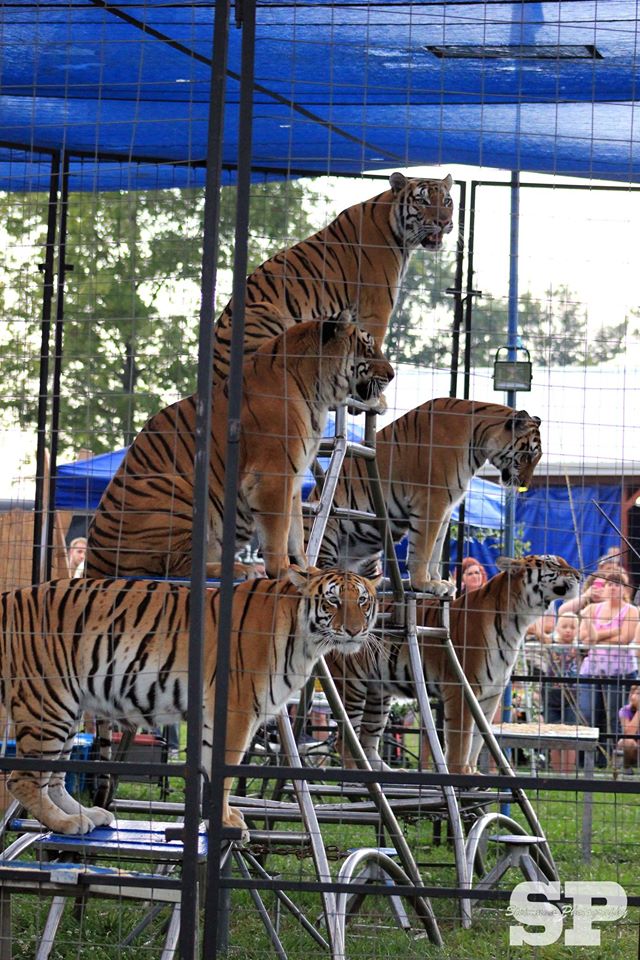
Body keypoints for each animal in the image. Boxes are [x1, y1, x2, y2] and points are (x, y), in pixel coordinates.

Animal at [0, 566, 380, 837]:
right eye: (333, 601)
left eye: (362, 601)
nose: (353, 631)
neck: (307, 641)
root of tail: (9, 595)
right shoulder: (237, 710)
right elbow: (226, 772)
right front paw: (226, 822)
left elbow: (212, 771)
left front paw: (216, 817)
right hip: (49, 703)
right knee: (21, 779)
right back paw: (65, 823)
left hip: (69, 707)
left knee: (54, 778)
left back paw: (85, 815)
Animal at [86, 311, 394, 581]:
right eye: (368, 345)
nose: (392, 375)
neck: (317, 390)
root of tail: (92, 565)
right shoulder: (273, 476)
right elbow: (279, 532)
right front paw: (284, 571)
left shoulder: (294, 479)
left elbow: (295, 532)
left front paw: (307, 568)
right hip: (174, 490)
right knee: (176, 566)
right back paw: (240, 569)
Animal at [312, 398, 542, 595]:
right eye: (528, 455)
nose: (525, 484)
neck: (479, 441)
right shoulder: (433, 501)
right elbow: (423, 548)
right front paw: (423, 583)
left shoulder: (447, 507)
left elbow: (436, 549)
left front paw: (436, 580)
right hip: (328, 532)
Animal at [328, 555, 579, 773]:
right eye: (553, 564)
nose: (578, 575)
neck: (519, 619)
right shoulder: (462, 688)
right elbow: (461, 739)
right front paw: (460, 775)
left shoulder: (491, 695)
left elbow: (478, 738)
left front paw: (473, 773)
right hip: (352, 684)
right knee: (345, 740)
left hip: (378, 692)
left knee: (366, 740)